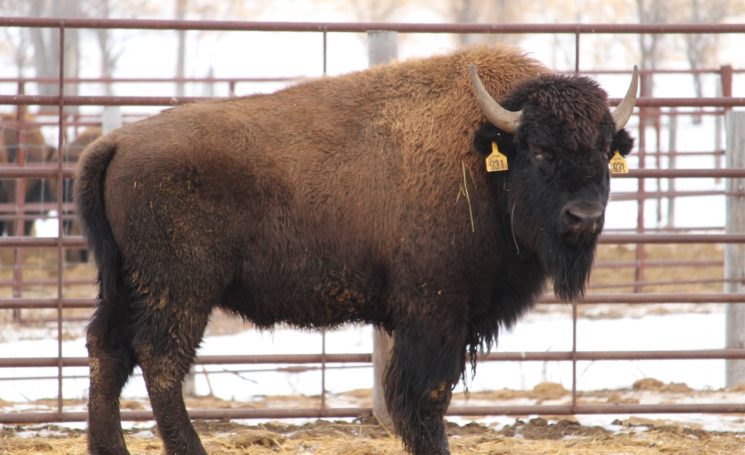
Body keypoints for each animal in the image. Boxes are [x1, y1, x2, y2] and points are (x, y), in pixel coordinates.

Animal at [75, 45, 637, 455]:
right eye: (539, 150)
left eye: (604, 149)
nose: (584, 217)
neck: (483, 159)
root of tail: (117, 143)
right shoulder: (434, 313)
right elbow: (426, 399)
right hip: (180, 291)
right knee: (160, 360)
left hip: (124, 284)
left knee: (108, 351)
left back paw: (110, 450)